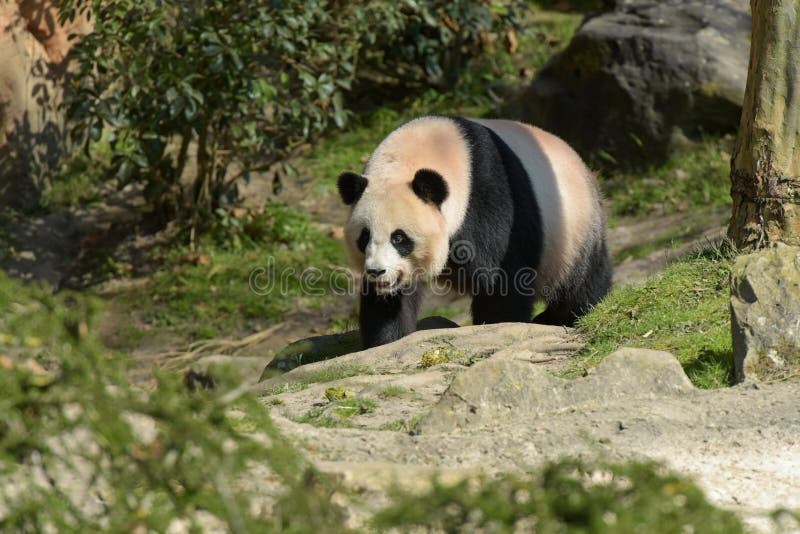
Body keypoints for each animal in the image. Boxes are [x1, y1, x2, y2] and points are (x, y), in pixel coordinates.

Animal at [337, 116, 612, 349]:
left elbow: (503, 279)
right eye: (364, 237)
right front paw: (387, 340)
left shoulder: (489, 196)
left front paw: (498, 326)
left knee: (583, 280)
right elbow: (392, 300)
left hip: (574, 229)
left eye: (399, 238)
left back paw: (564, 316)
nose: (377, 272)